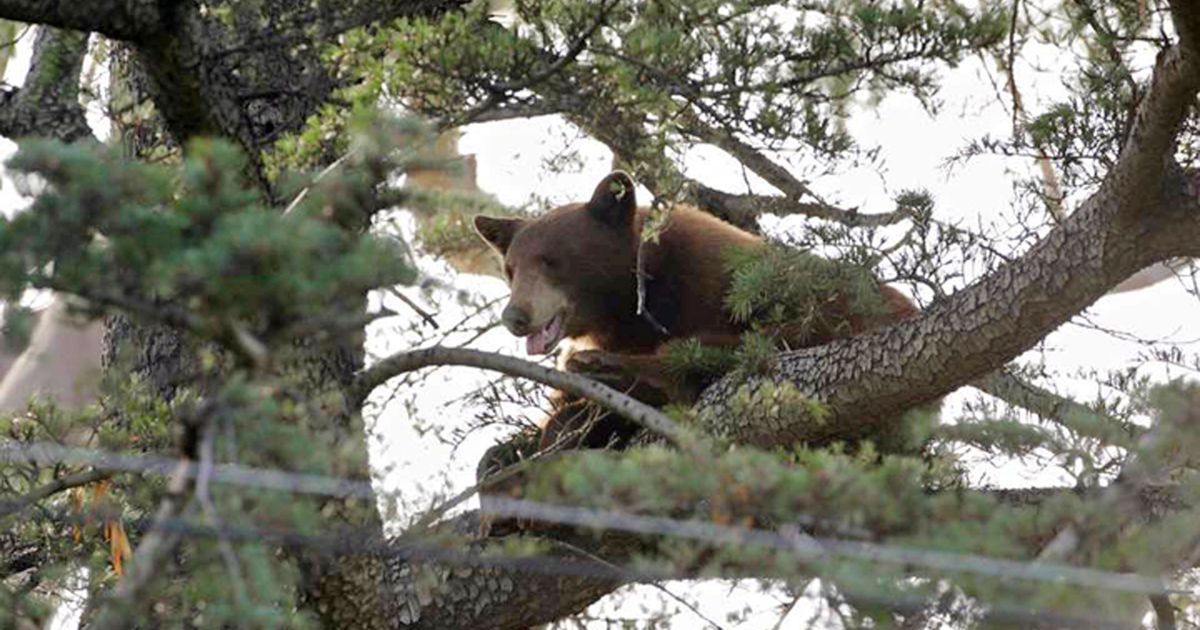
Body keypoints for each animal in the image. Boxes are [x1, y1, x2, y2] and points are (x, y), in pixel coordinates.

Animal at [473, 171, 919, 453]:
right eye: (510, 269)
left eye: (552, 261)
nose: (515, 316)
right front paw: (509, 451)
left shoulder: (710, 279)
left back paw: (605, 369)